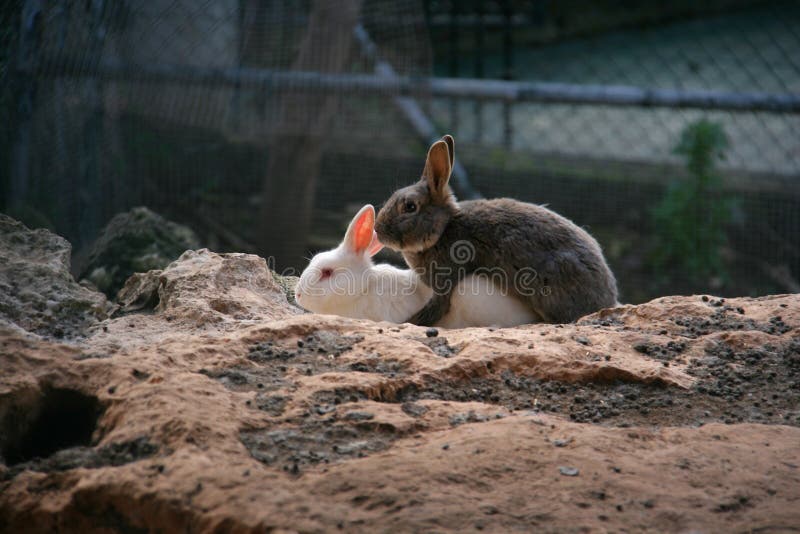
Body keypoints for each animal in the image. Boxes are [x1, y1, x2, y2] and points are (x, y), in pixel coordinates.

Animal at [374, 134, 618, 326]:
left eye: (410, 206)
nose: (377, 230)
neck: (443, 230)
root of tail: (607, 298)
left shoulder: (447, 278)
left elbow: (435, 309)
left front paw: (406, 323)